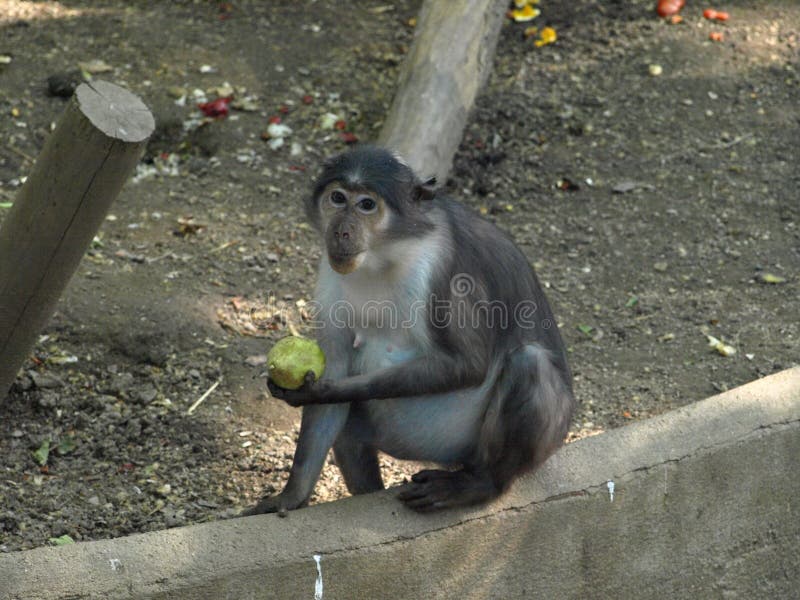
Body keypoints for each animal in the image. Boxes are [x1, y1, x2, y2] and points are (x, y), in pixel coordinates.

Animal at [242, 145, 575, 515]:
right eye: (338, 198)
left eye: (367, 205)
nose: (341, 231)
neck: (386, 253)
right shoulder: (331, 271)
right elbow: (337, 372)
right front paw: (290, 496)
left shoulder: (445, 271)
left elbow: (469, 364)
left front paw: (320, 391)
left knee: (530, 362)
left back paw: (479, 484)